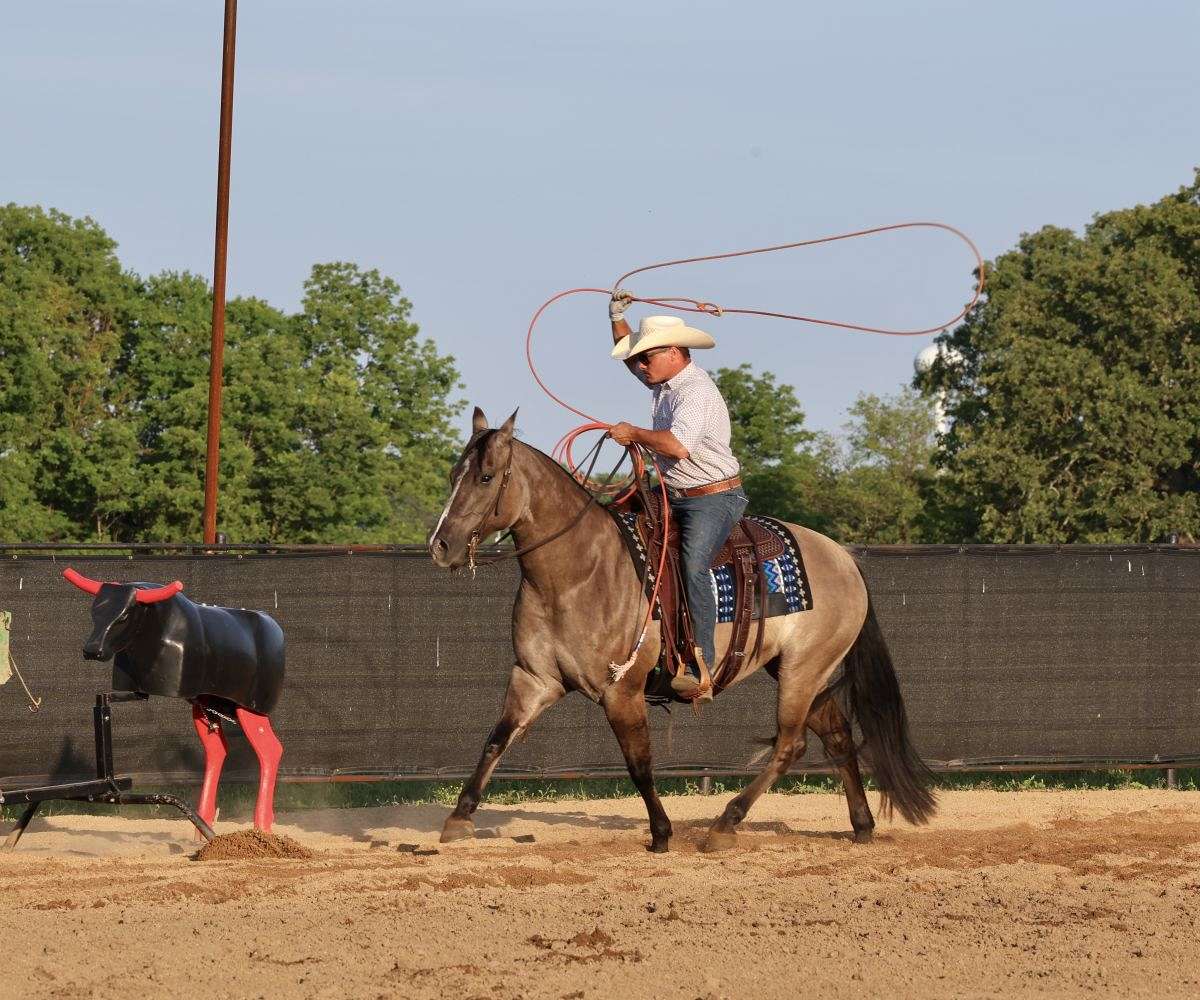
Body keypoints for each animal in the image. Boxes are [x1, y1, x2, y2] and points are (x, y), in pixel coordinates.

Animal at [428, 407, 936, 852]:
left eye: (486, 476)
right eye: (453, 474)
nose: (440, 545)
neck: (577, 572)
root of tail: (843, 557)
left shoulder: (622, 690)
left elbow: (639, 763)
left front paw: (661, 833)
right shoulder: (534, 679)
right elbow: (496, 739)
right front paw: (458, 819)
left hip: (803, 671)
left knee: (791, 745)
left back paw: (724, 826)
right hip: (798, 670)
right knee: (837, 734)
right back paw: (861, 825)